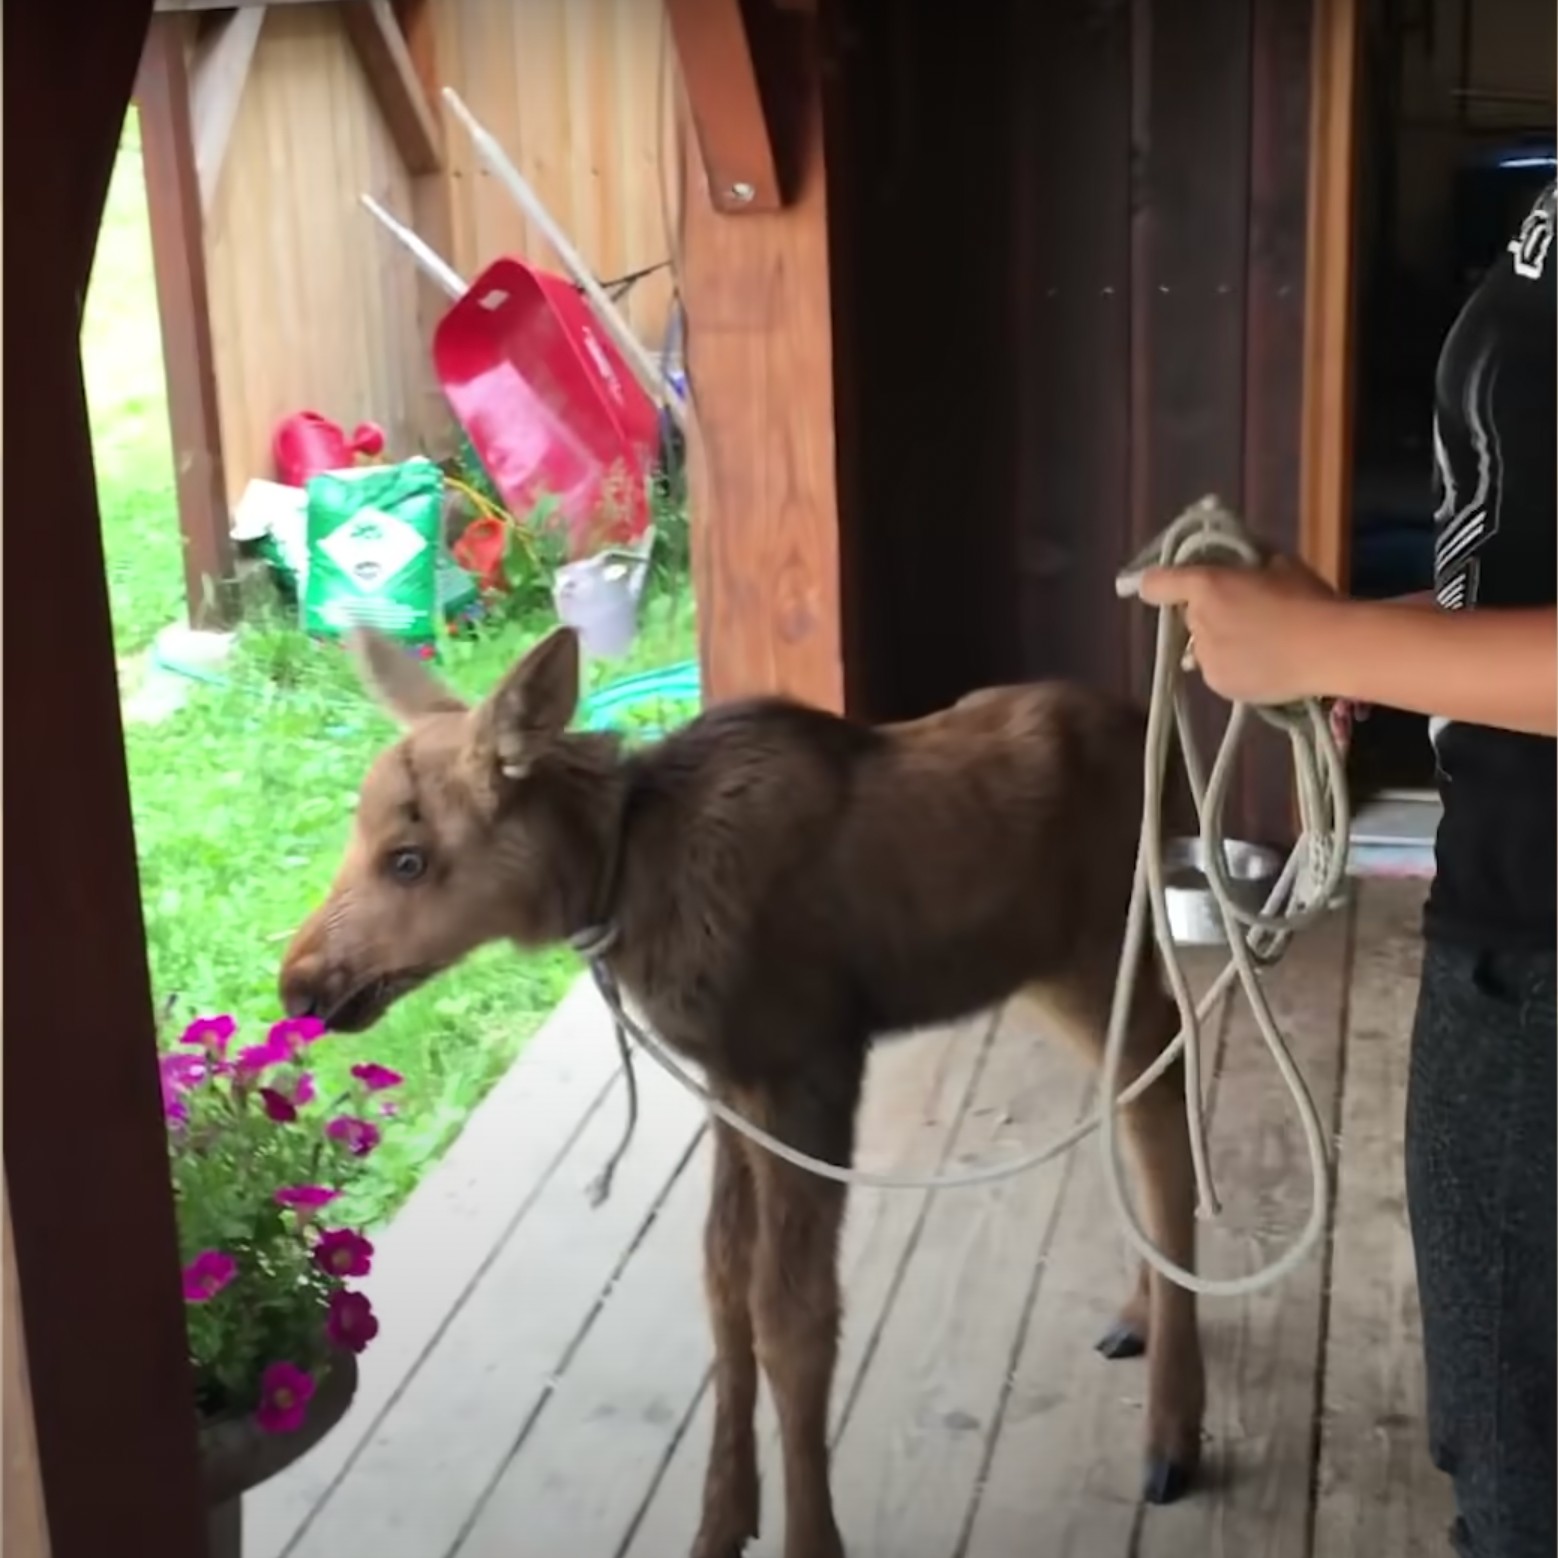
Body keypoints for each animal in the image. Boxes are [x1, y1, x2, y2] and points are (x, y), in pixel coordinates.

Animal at [279, 624, 1206, 1558]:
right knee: (1141, 1103)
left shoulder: (806, 1067)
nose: (300, 985)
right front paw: (721, 1521)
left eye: (408, 859)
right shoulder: (731, 1079)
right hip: (1050, 976)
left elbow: (792, 1318)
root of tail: (1164, 757)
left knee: (1167, 1102)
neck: (627, 887)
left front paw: (810, 1537)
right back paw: (1143, 1312)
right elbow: (724, 1285)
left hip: (1104, 953)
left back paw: (1172, 1429)